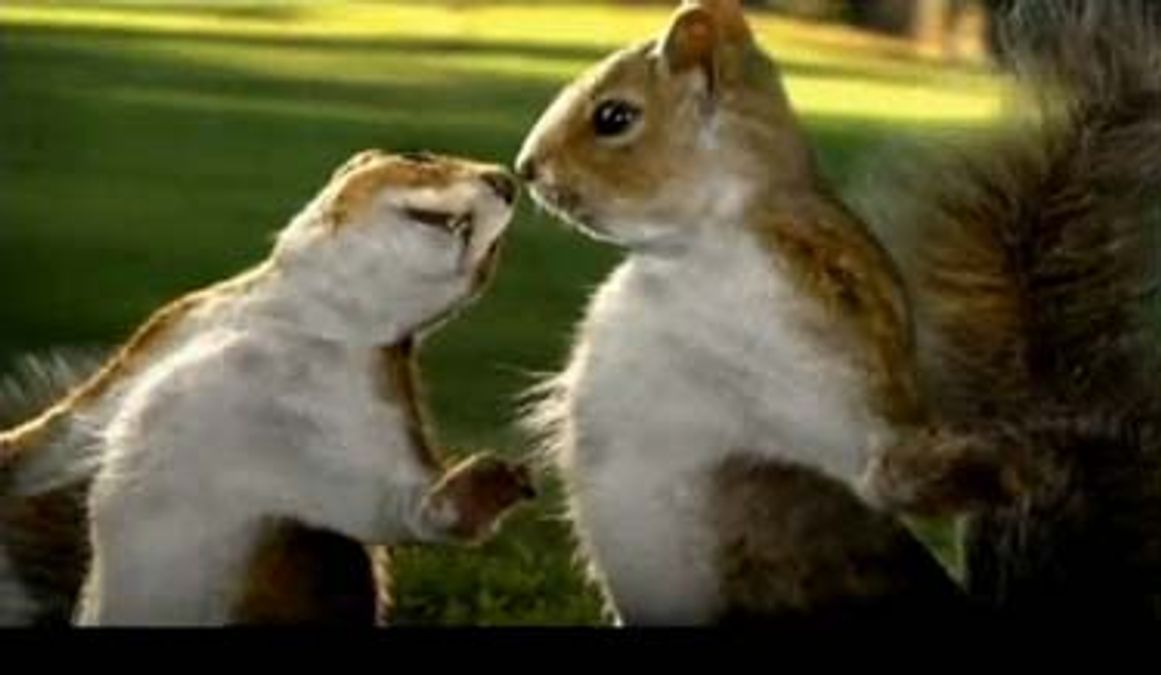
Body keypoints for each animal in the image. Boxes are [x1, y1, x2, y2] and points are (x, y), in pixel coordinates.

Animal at [0, 149, 535, 625]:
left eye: (494, 254)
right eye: (419, 158)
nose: (507, 182)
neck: (309, 326)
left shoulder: (378, 431)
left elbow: (407, 506)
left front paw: (496, 480)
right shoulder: (168, 334)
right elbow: (64, 433)